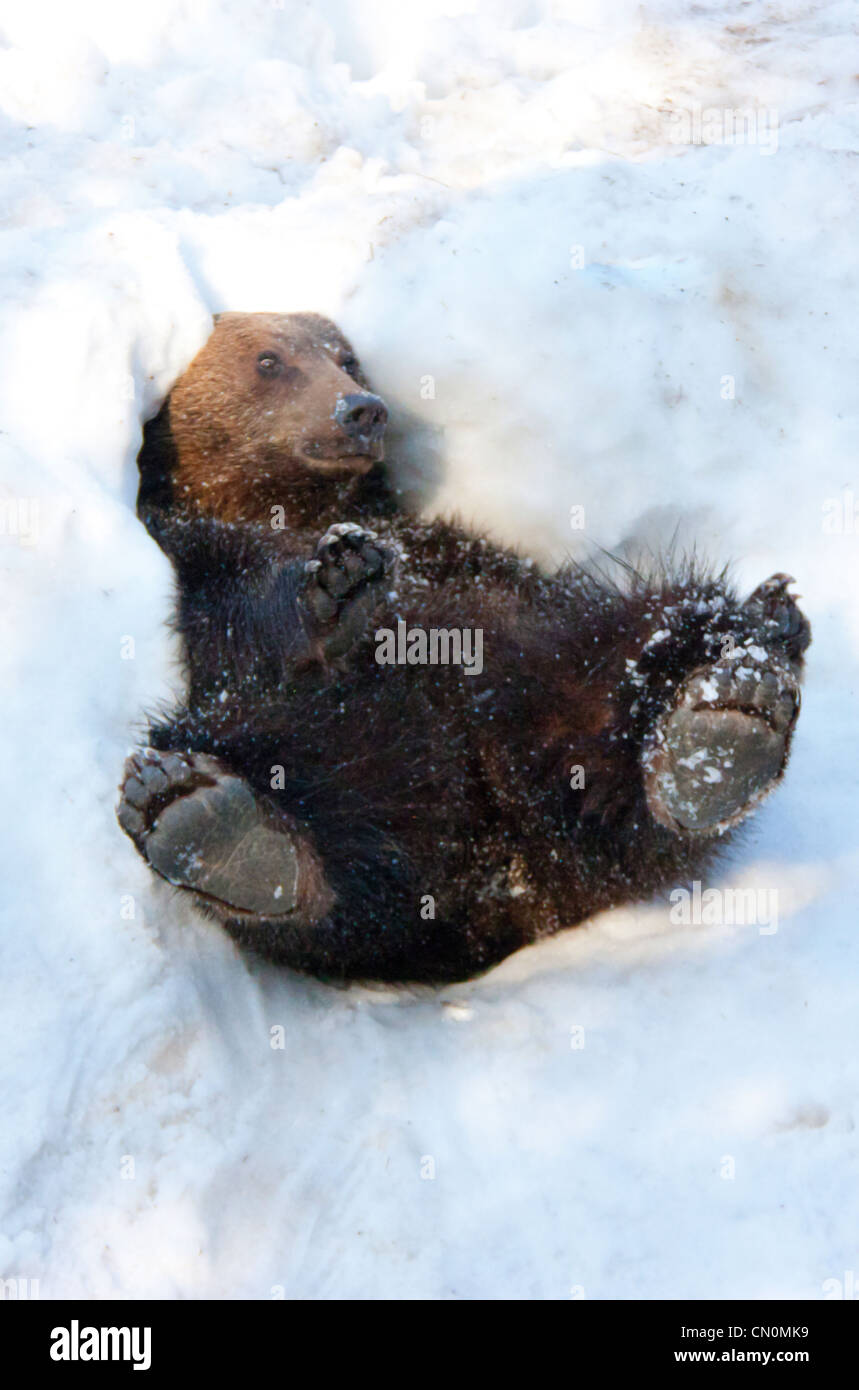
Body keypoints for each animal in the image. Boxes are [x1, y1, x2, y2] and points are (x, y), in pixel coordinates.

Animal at [119, 312, 811, 984]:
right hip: (360, 773)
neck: (279, 503)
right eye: (269, 360)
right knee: (302, 811)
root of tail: (502, 877)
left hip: (542, 701)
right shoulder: (195, 550)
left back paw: (735, 696)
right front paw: (333, 581)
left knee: (638, 659)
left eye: (346, 357)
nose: (361, 409)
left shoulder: (466, 557)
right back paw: (209, 824)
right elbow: (239, 608)